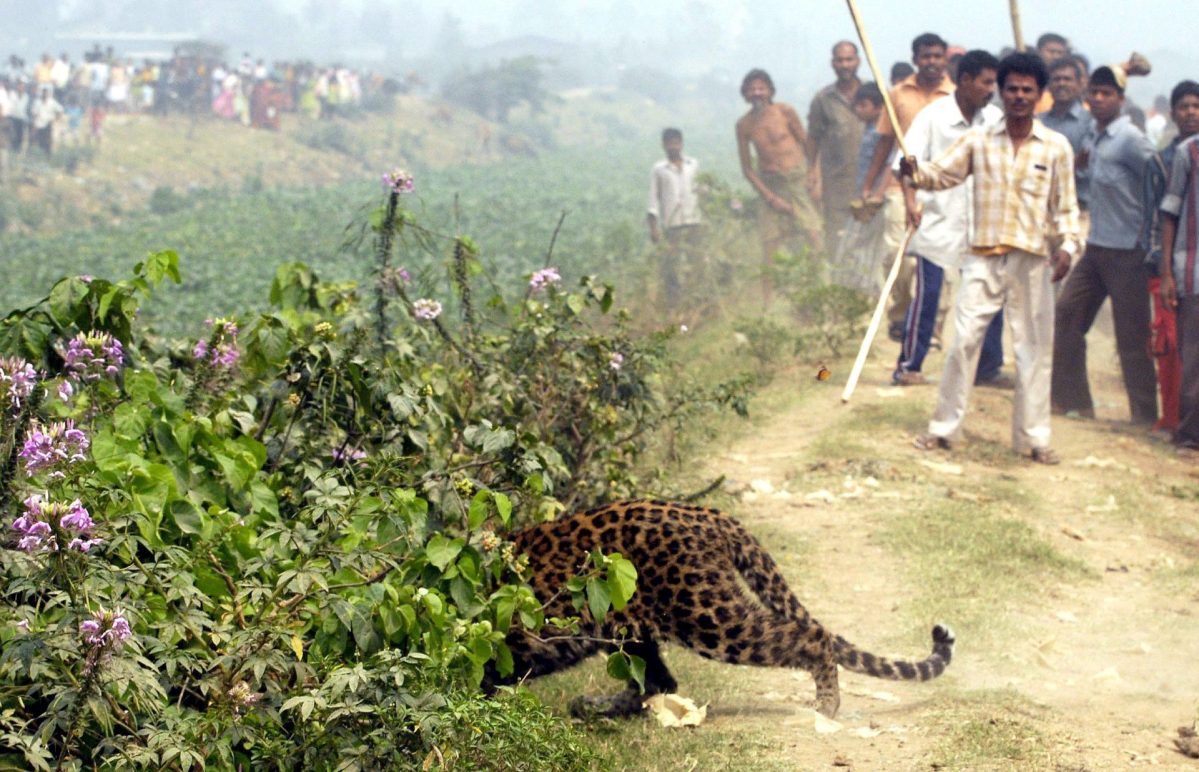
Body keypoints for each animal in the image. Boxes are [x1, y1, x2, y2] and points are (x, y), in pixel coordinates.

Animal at [484, 499, 955, 719]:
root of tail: (709, 514)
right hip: (634, 629)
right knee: (657, 680)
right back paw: (594, 707)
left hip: (705, 615)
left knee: (809, 636)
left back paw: (826, 705)